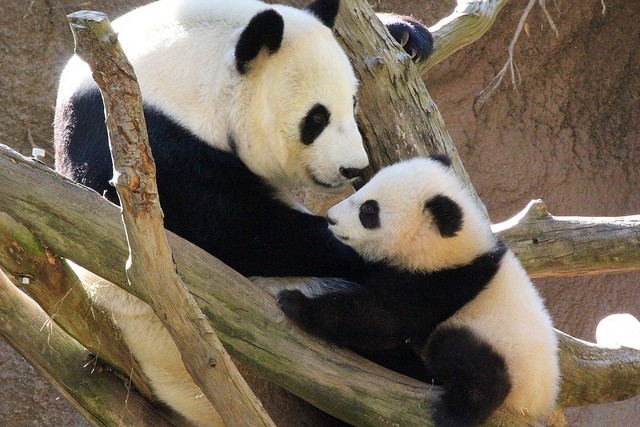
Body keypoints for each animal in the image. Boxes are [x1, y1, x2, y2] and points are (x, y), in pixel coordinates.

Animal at [54, 0, 433, 424]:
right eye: (316, 118)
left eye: (351, 104)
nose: (352, 168)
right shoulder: (135, 137)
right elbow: (228, 229)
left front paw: (406, 33)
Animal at [277, 156, 560, 426]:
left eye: (368, 210)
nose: (330, 218)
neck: (448, 247)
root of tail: (536, 408)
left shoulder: (441, 282)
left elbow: (381, 320)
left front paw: (295, 303)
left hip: (500, 344)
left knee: (466, 356)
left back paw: (455, 412)